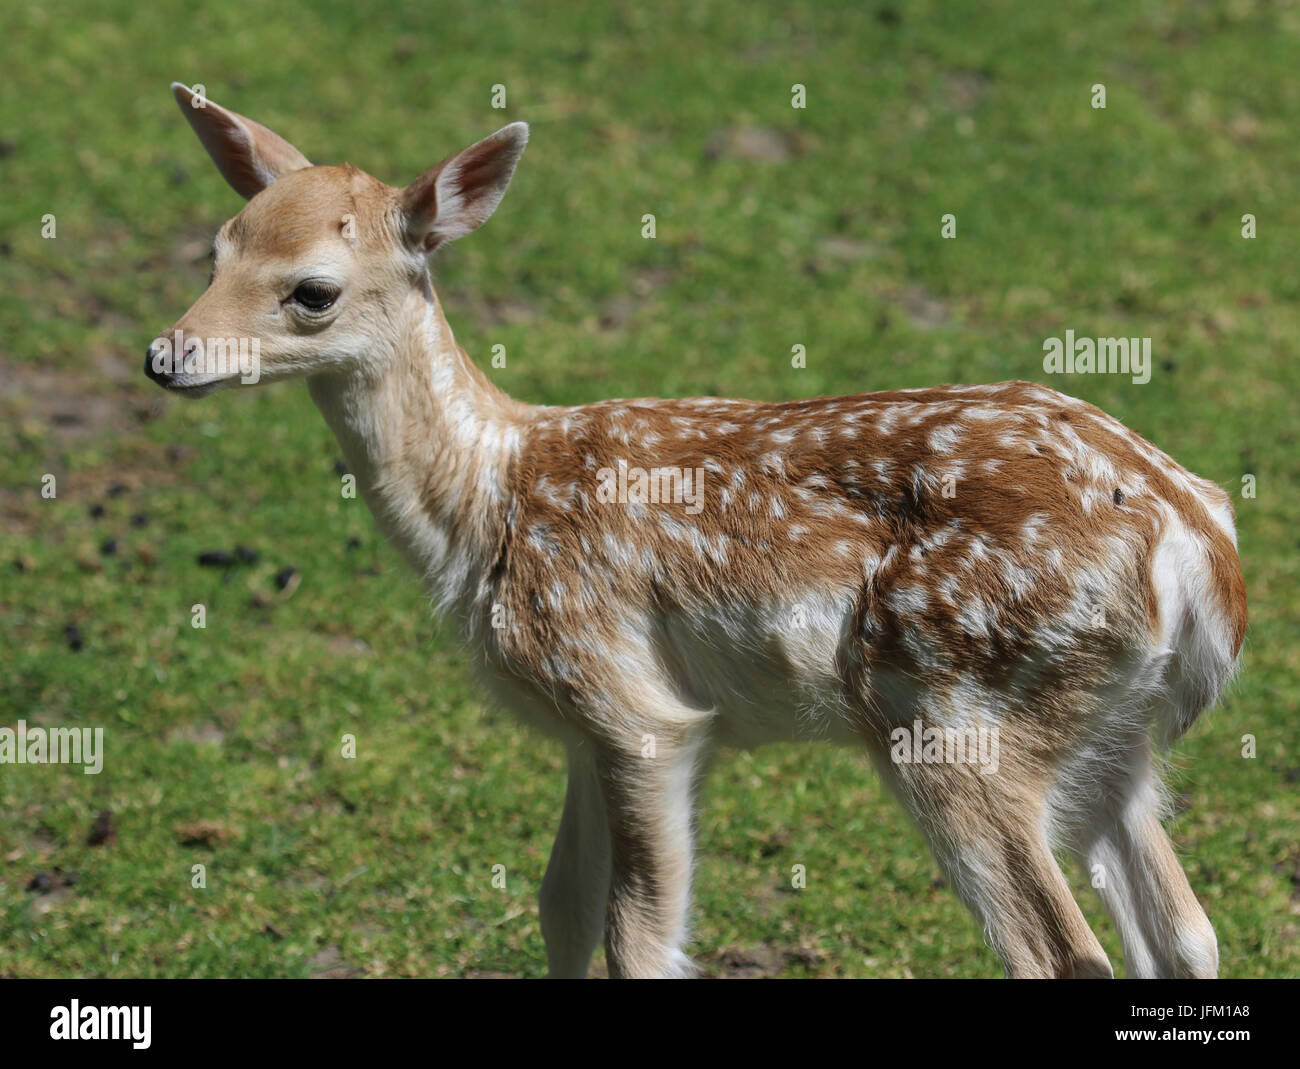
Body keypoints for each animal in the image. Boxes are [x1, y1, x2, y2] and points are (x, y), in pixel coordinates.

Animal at [147, 83, 1247, 979]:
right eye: (217, 248)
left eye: (313, 290)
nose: (167, 354)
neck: (490, 498)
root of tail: (1200, 548)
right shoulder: (585, 727)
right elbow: (560, 907)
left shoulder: (634, 704)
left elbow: (635, 938)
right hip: (1111, 737)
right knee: (1187, 934)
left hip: (957, 713)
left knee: (1062, 951)